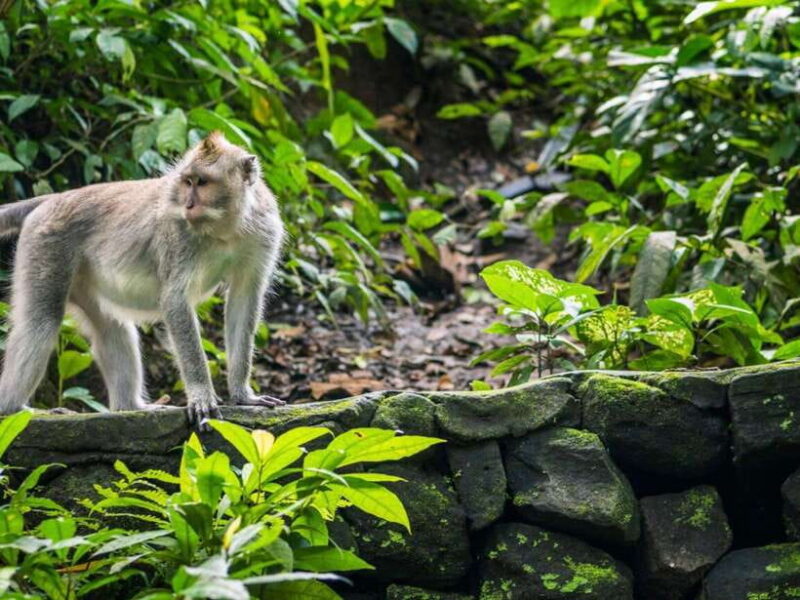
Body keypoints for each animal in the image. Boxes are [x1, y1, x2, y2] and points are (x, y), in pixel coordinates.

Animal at [0, 131, 285, 428]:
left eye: (203, 182)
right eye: (188, 182)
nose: (188, 204)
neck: (225, 229)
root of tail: (53, 199)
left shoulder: (264, 232)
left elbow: (244, 300)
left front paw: (243, 395)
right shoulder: (177, 236)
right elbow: (175, 301)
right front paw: (202, 396)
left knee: (112, 328)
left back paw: (131, 406)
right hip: (46, 245)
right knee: (40, 323)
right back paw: (14, 408)